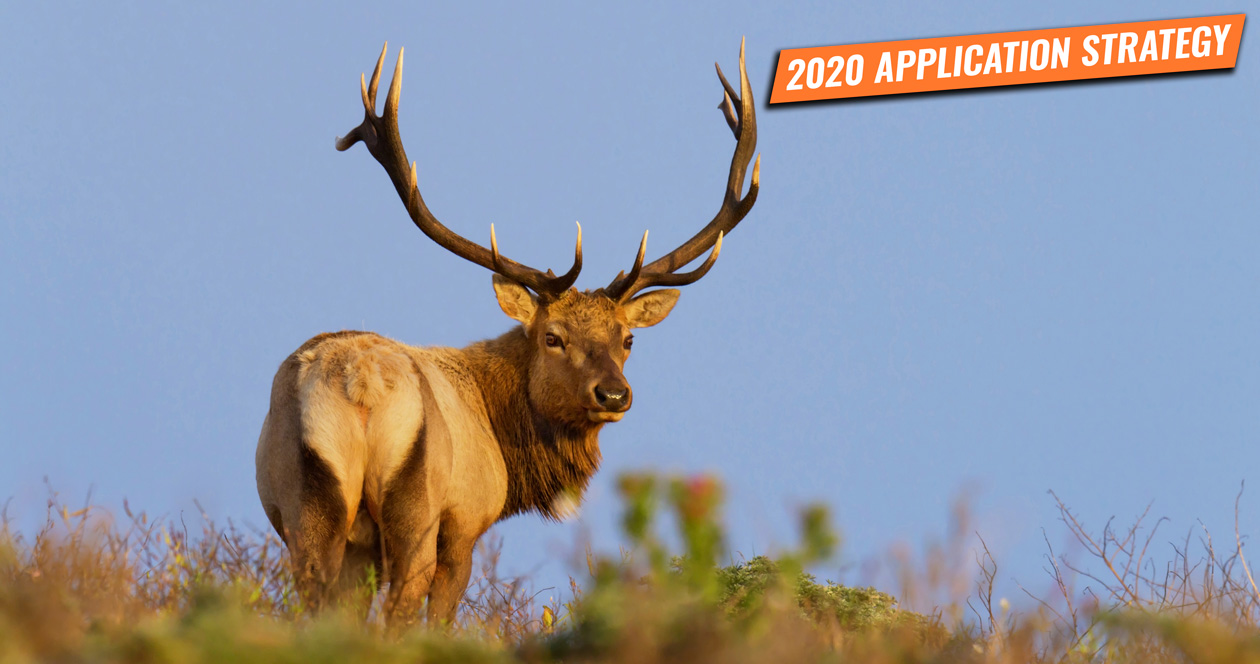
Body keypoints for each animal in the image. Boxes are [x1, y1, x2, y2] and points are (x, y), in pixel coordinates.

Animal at [255, 39, 758, 627]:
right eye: (552, 337)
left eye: (628, 340)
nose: (614, 394)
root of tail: (360, 386)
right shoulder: (467, 520)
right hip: (417, 503)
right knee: (403, 603)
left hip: (307, 503)